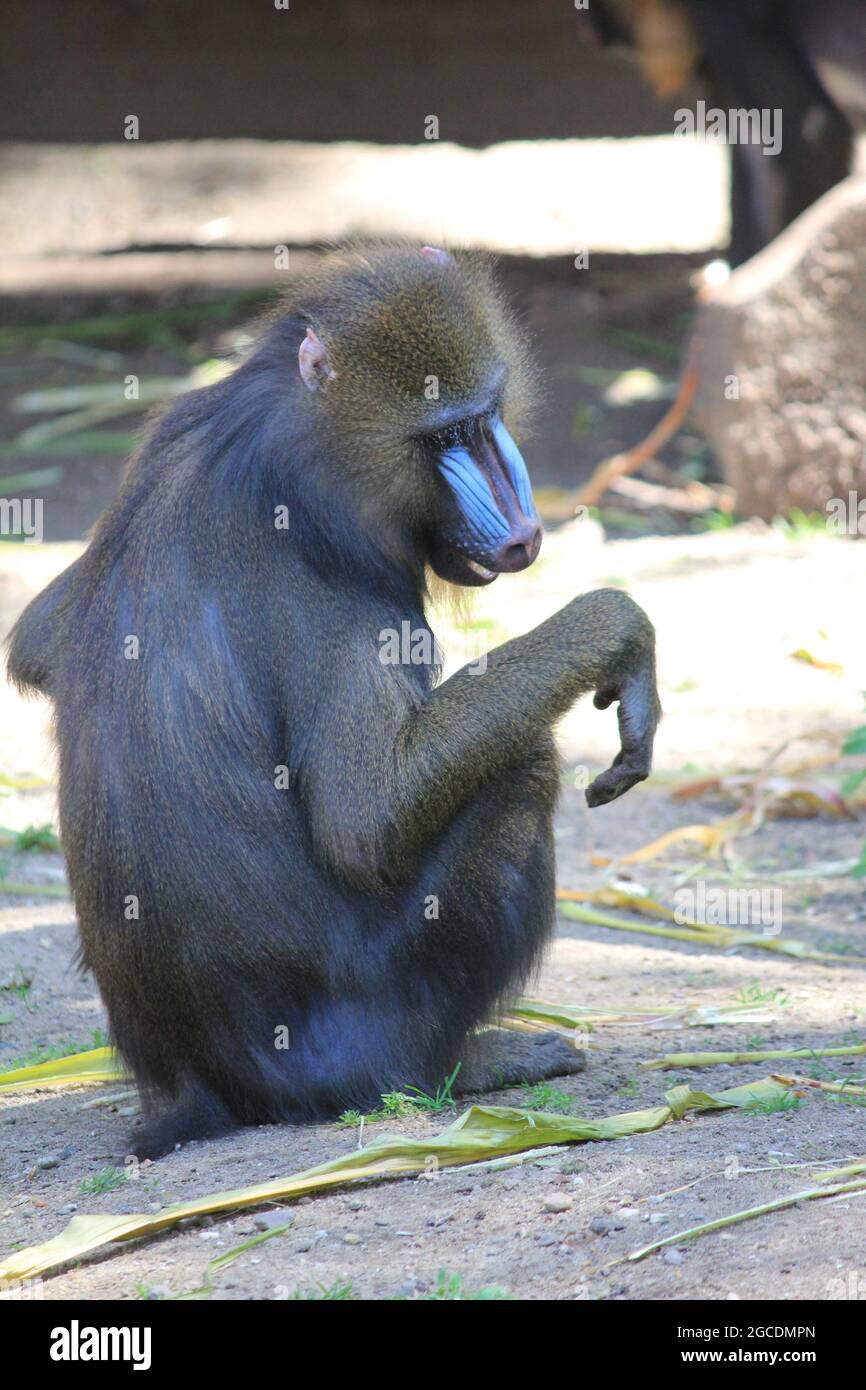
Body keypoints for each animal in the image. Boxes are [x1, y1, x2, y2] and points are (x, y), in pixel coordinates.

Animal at [7, 244, 660, 1158]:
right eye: (446, 436)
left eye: (487, 416)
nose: (523, 535)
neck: (296, 425)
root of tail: (203, 1086)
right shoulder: (336, 557)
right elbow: (365, 817)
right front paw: (618, 628)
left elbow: (38, 636)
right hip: (381, 1013)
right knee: (523, 767)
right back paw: (464, 1065)